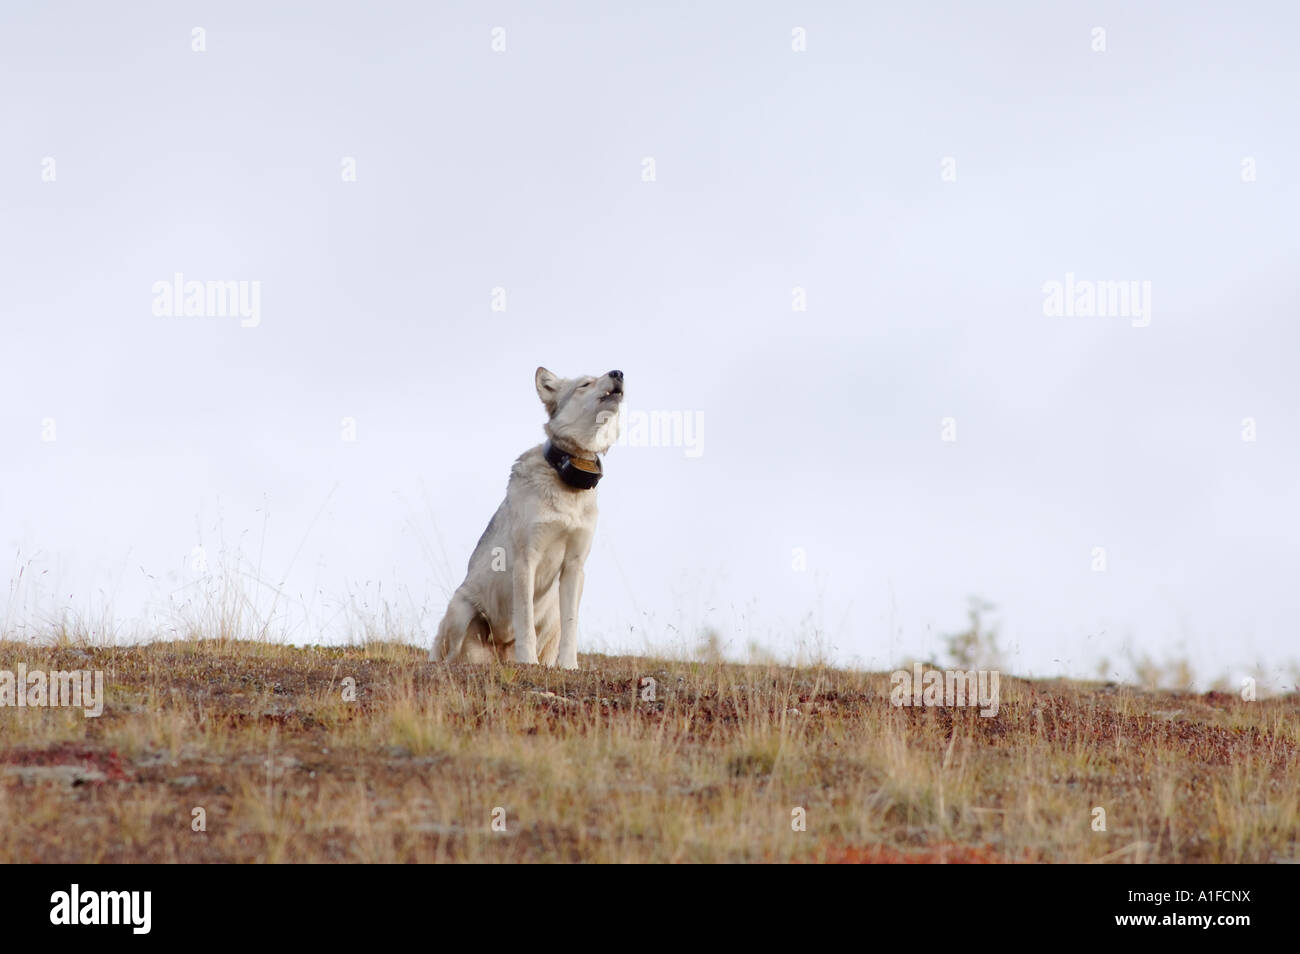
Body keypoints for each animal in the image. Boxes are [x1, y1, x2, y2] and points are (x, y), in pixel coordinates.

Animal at [430, 367, 624, 668]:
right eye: (585, 383)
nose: (618, 373)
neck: (568, 484)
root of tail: (498, 655)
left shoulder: (574, 567)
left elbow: (571, 628)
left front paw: (569, 666)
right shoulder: (526, 560)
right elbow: (525, 623)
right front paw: (528, 662)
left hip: (552, 612)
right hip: (460, 609)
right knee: (450, 656)